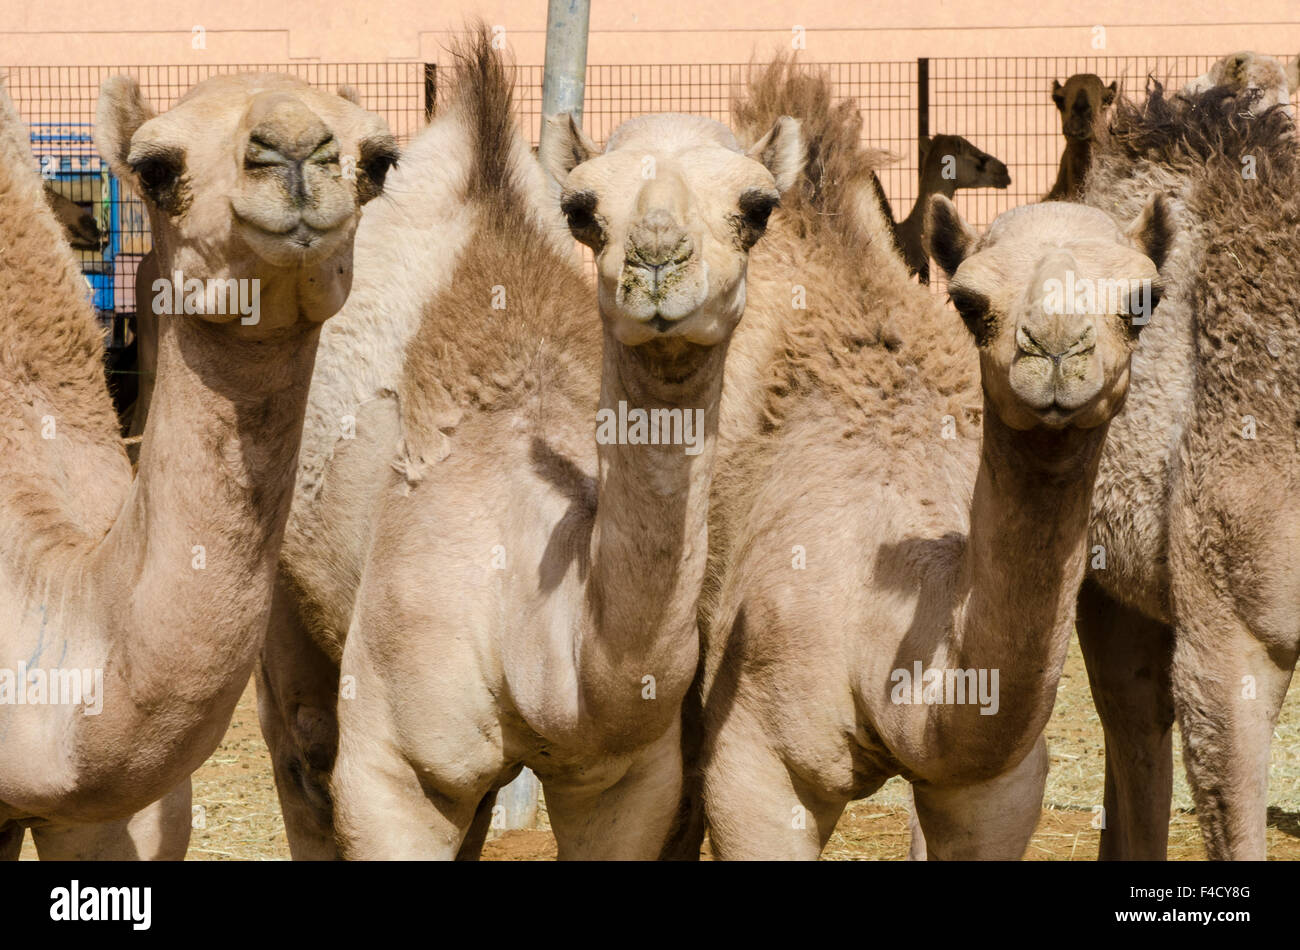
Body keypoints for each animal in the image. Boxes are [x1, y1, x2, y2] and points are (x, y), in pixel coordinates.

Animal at [256, 33, 802, 859]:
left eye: (758, 206)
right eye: (583, 209)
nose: (657, 259)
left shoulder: (627, 783)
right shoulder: (393, 771)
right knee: (303, 754)